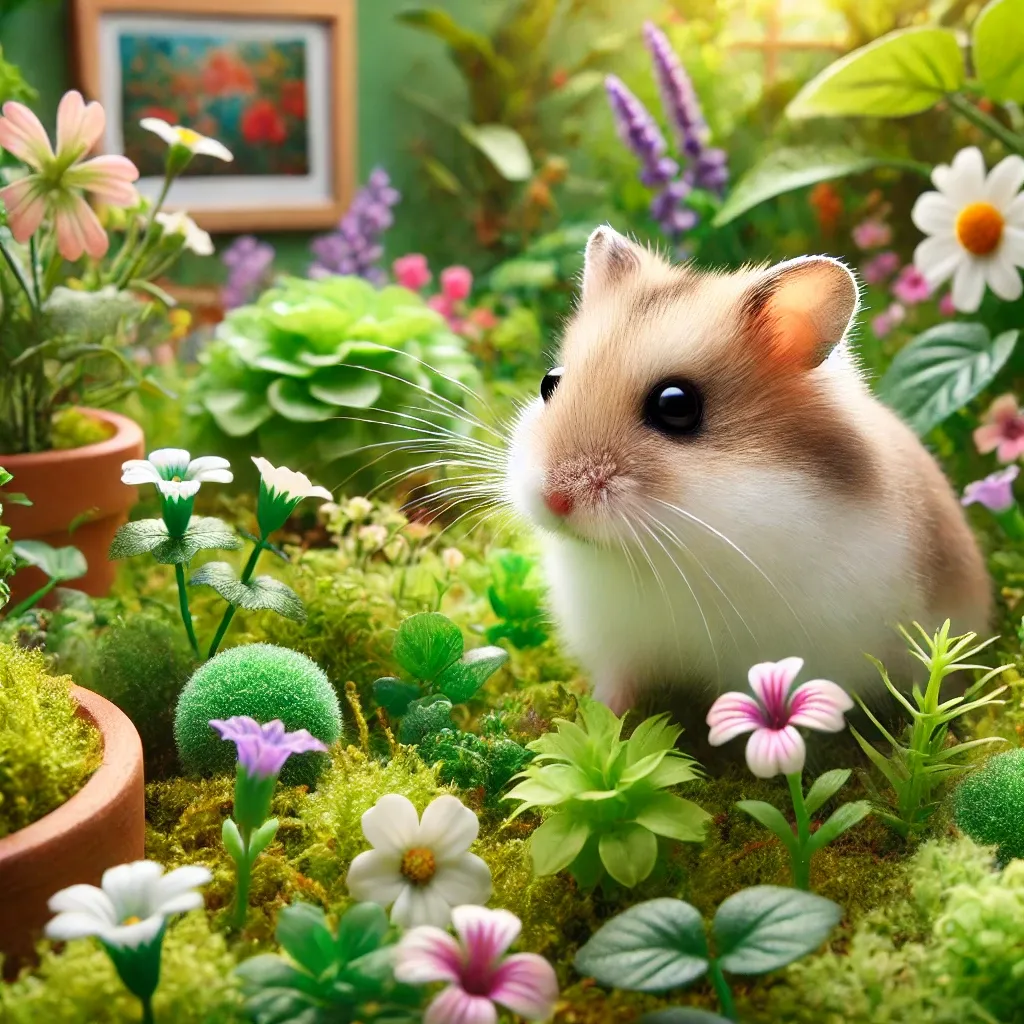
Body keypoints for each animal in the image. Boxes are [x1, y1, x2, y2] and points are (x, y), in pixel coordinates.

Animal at [503, 226, 992, 714]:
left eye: (675, 405)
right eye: (549, 382)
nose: (554, 499)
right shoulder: (616, 646)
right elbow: (614, 695)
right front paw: (598, 719)